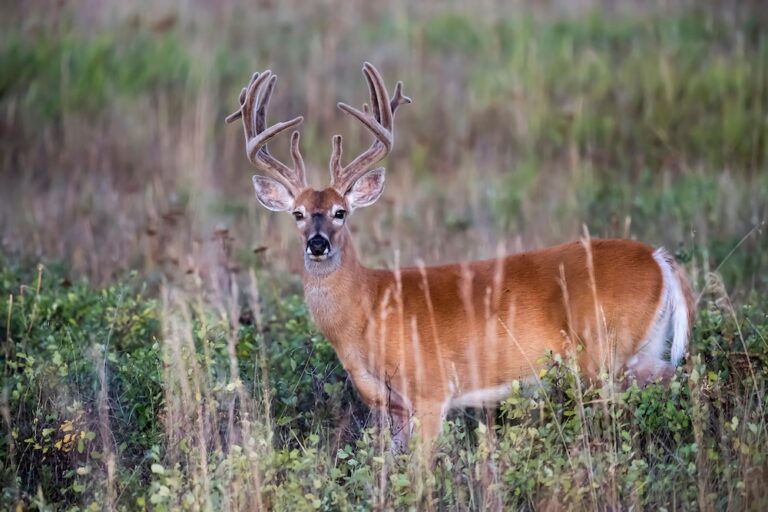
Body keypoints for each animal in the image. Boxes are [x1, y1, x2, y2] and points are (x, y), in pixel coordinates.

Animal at [225, 63, 695, 451]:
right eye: (298, 213)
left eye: (342, 211)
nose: (318, 243)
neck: (367, 311)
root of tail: (661, 258)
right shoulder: (390, 406)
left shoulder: (431, 391)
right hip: (642, 352)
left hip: (606, 354)